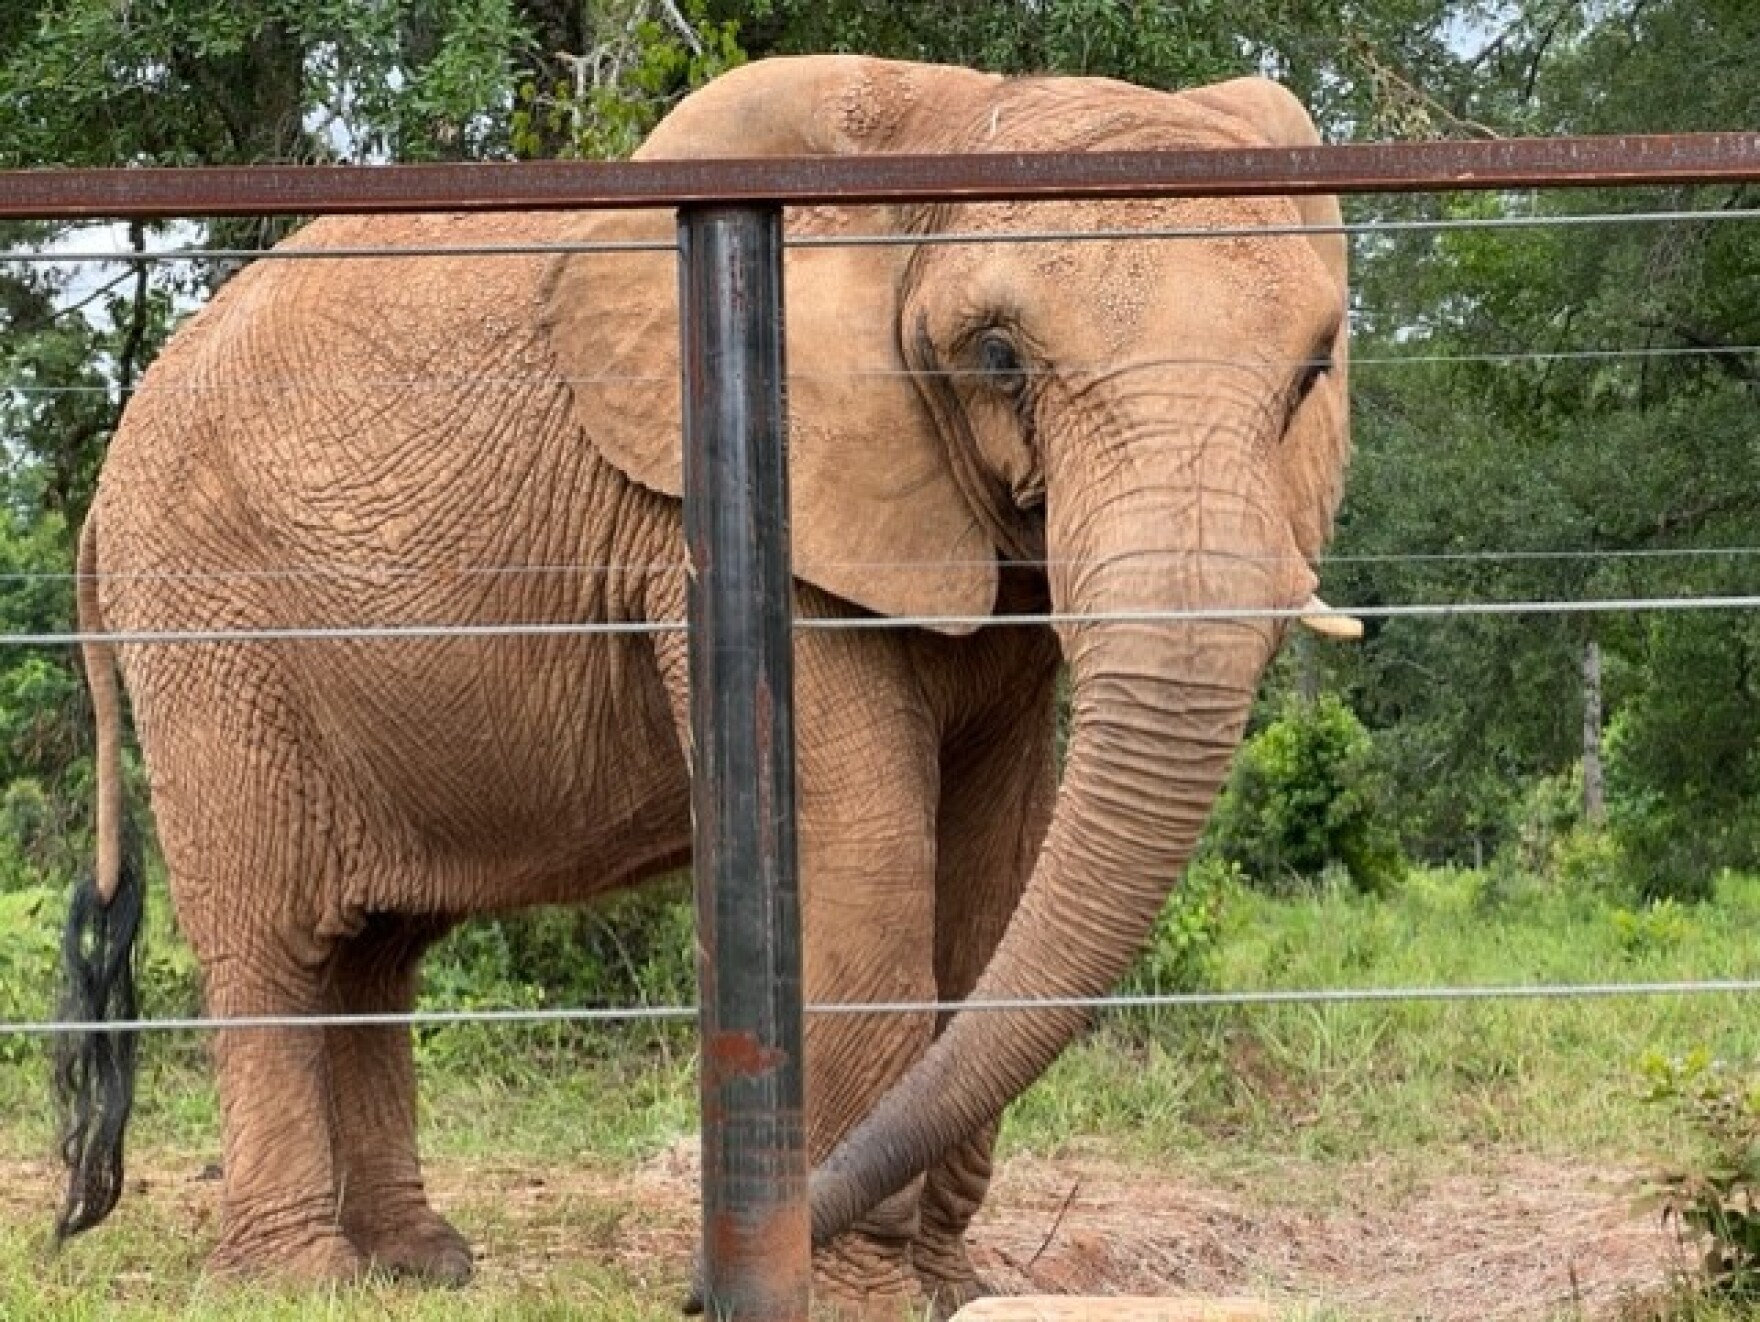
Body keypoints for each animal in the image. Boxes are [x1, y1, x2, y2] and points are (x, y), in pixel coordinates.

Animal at [52, 53, 1353, 1317]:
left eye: (1308, 376)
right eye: (997, 357)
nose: (686, 1286)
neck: (960, 118)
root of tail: (105, 488)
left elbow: (989, 880)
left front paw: (946, 1285)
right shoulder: (731, 513)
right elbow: (869, 861)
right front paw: (859, 1297)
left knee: (376, 952)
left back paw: (418, 1263)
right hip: (214, 628)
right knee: (271, 944)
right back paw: (301, 1278)